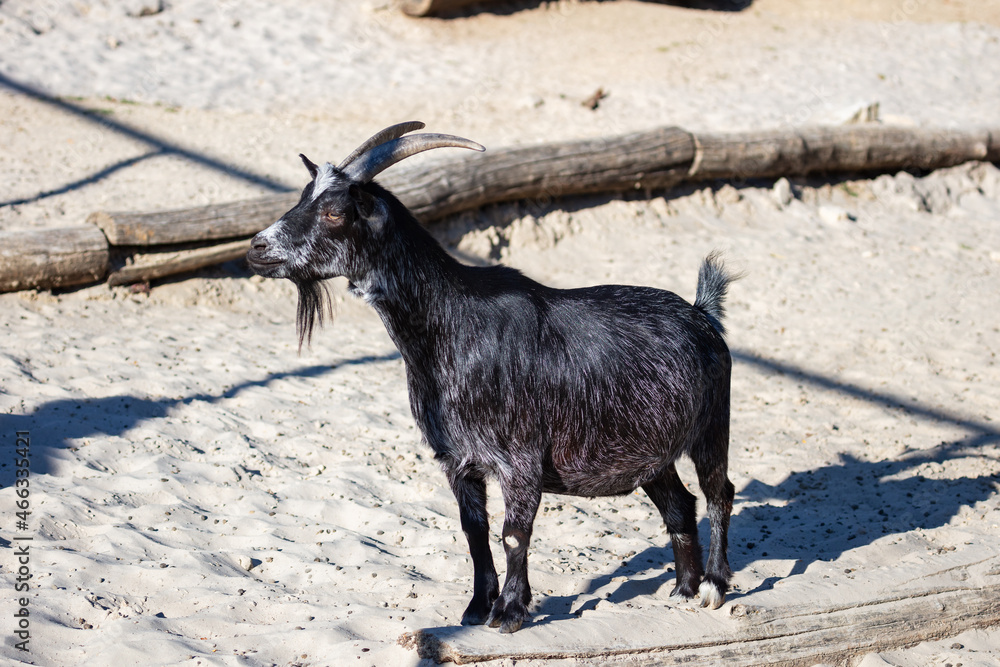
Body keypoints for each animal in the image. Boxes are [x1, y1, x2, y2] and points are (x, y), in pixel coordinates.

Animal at [247, 122, 738, 633]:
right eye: (302, 197)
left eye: (334, 211)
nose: (257, 247)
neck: (451, 327)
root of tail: (702, 313)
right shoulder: (457, 460)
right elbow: (475, 532)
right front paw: (475, 607)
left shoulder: (520, 459)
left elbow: (513, 534)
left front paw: (509, 612)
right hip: (652, 453)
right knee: (680, 505)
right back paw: (683, 588)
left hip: (711, 426)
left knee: (719, 491)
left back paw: (713, 586)